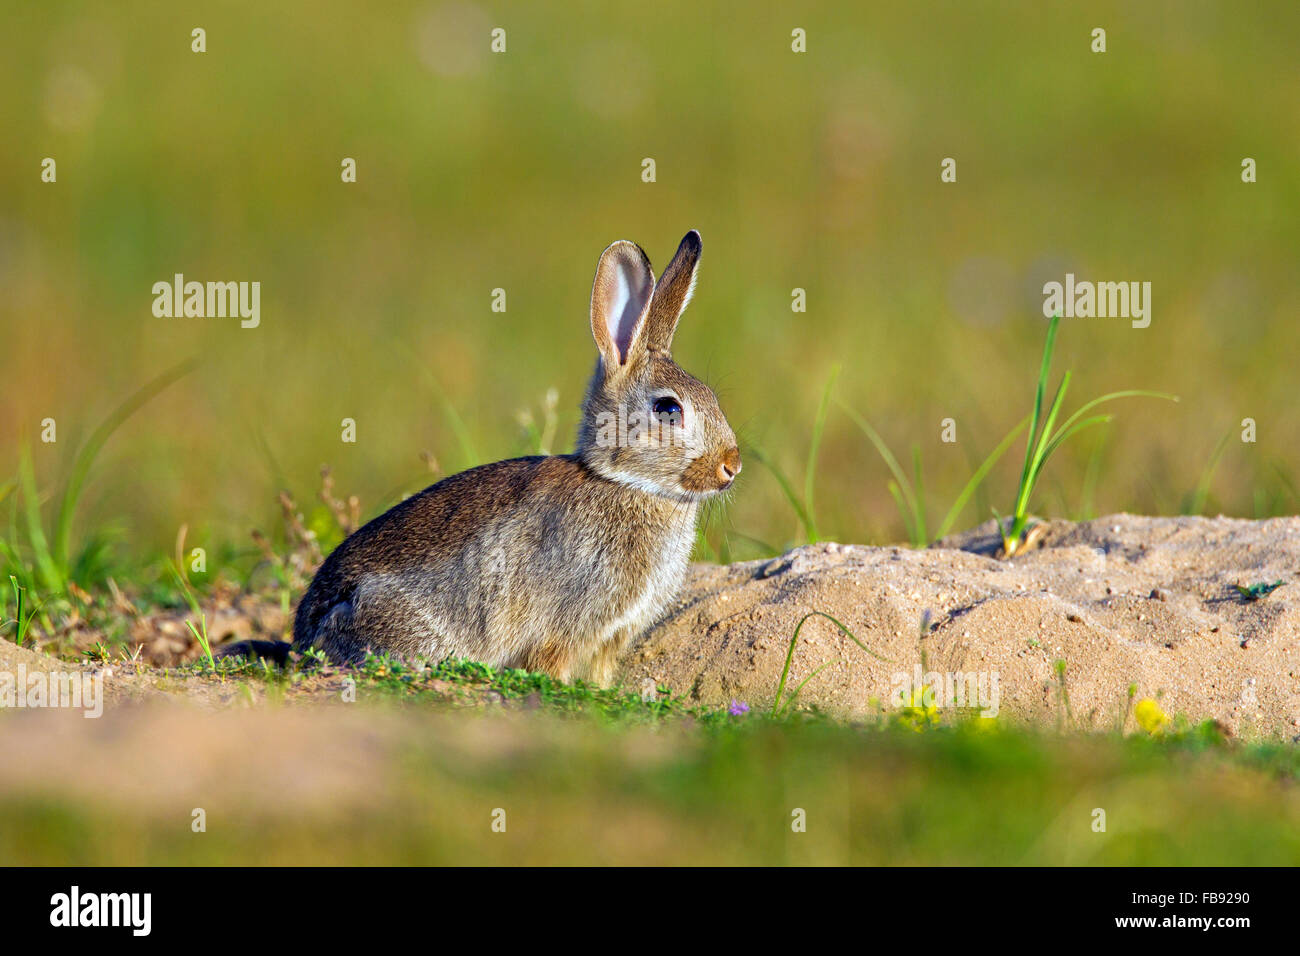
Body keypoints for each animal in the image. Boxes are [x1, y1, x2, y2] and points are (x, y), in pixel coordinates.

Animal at [289, 230, 741, 686]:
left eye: (711, 396)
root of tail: (306, 635)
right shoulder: (564, 625)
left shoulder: (610, 639)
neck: (623, 482)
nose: (732, 465)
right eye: (668, 409)